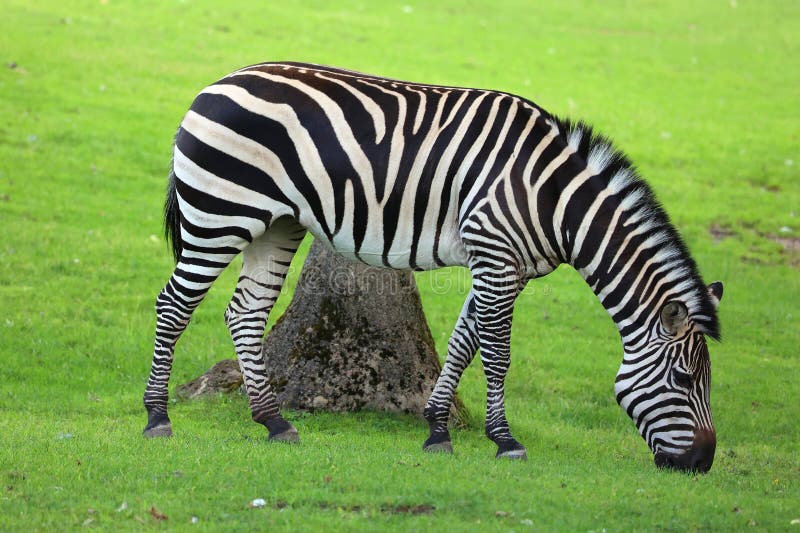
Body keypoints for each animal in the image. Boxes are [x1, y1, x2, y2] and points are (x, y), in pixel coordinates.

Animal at [143, 62, 724, 472]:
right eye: (684, 378)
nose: (702, 464)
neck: (552, 198)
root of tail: (215, 84)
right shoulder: (495, 252)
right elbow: (497, 355)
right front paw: (505, 441)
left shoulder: (503, 264)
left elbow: (465, 344)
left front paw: (438, 430)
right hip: (221, 213)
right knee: (173, 304)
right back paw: (157, 417)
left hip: (276, 224)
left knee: (245, 312)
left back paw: (274, 422)